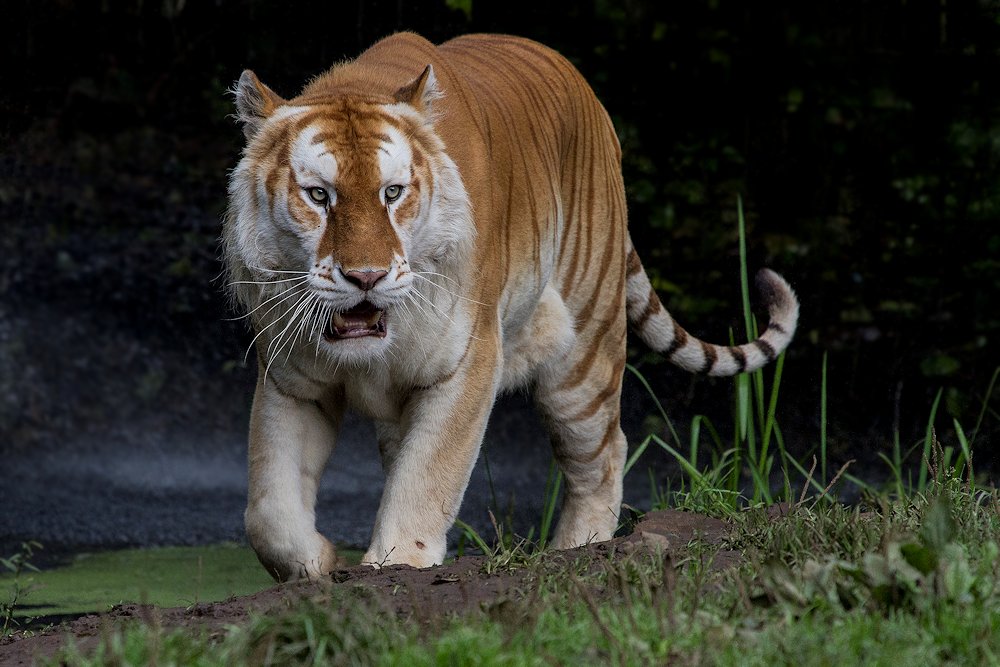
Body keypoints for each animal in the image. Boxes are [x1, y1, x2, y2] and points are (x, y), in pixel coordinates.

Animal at [225, 31, 796, 580]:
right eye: (319, 196)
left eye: (392, 193)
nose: (367, 276)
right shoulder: (292, 381)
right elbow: (268, 512)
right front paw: (323, 563)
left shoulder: (465, 364)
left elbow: (428, 474)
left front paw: (397, 562)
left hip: (583, 356)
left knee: (605, 454)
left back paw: (578, 551)